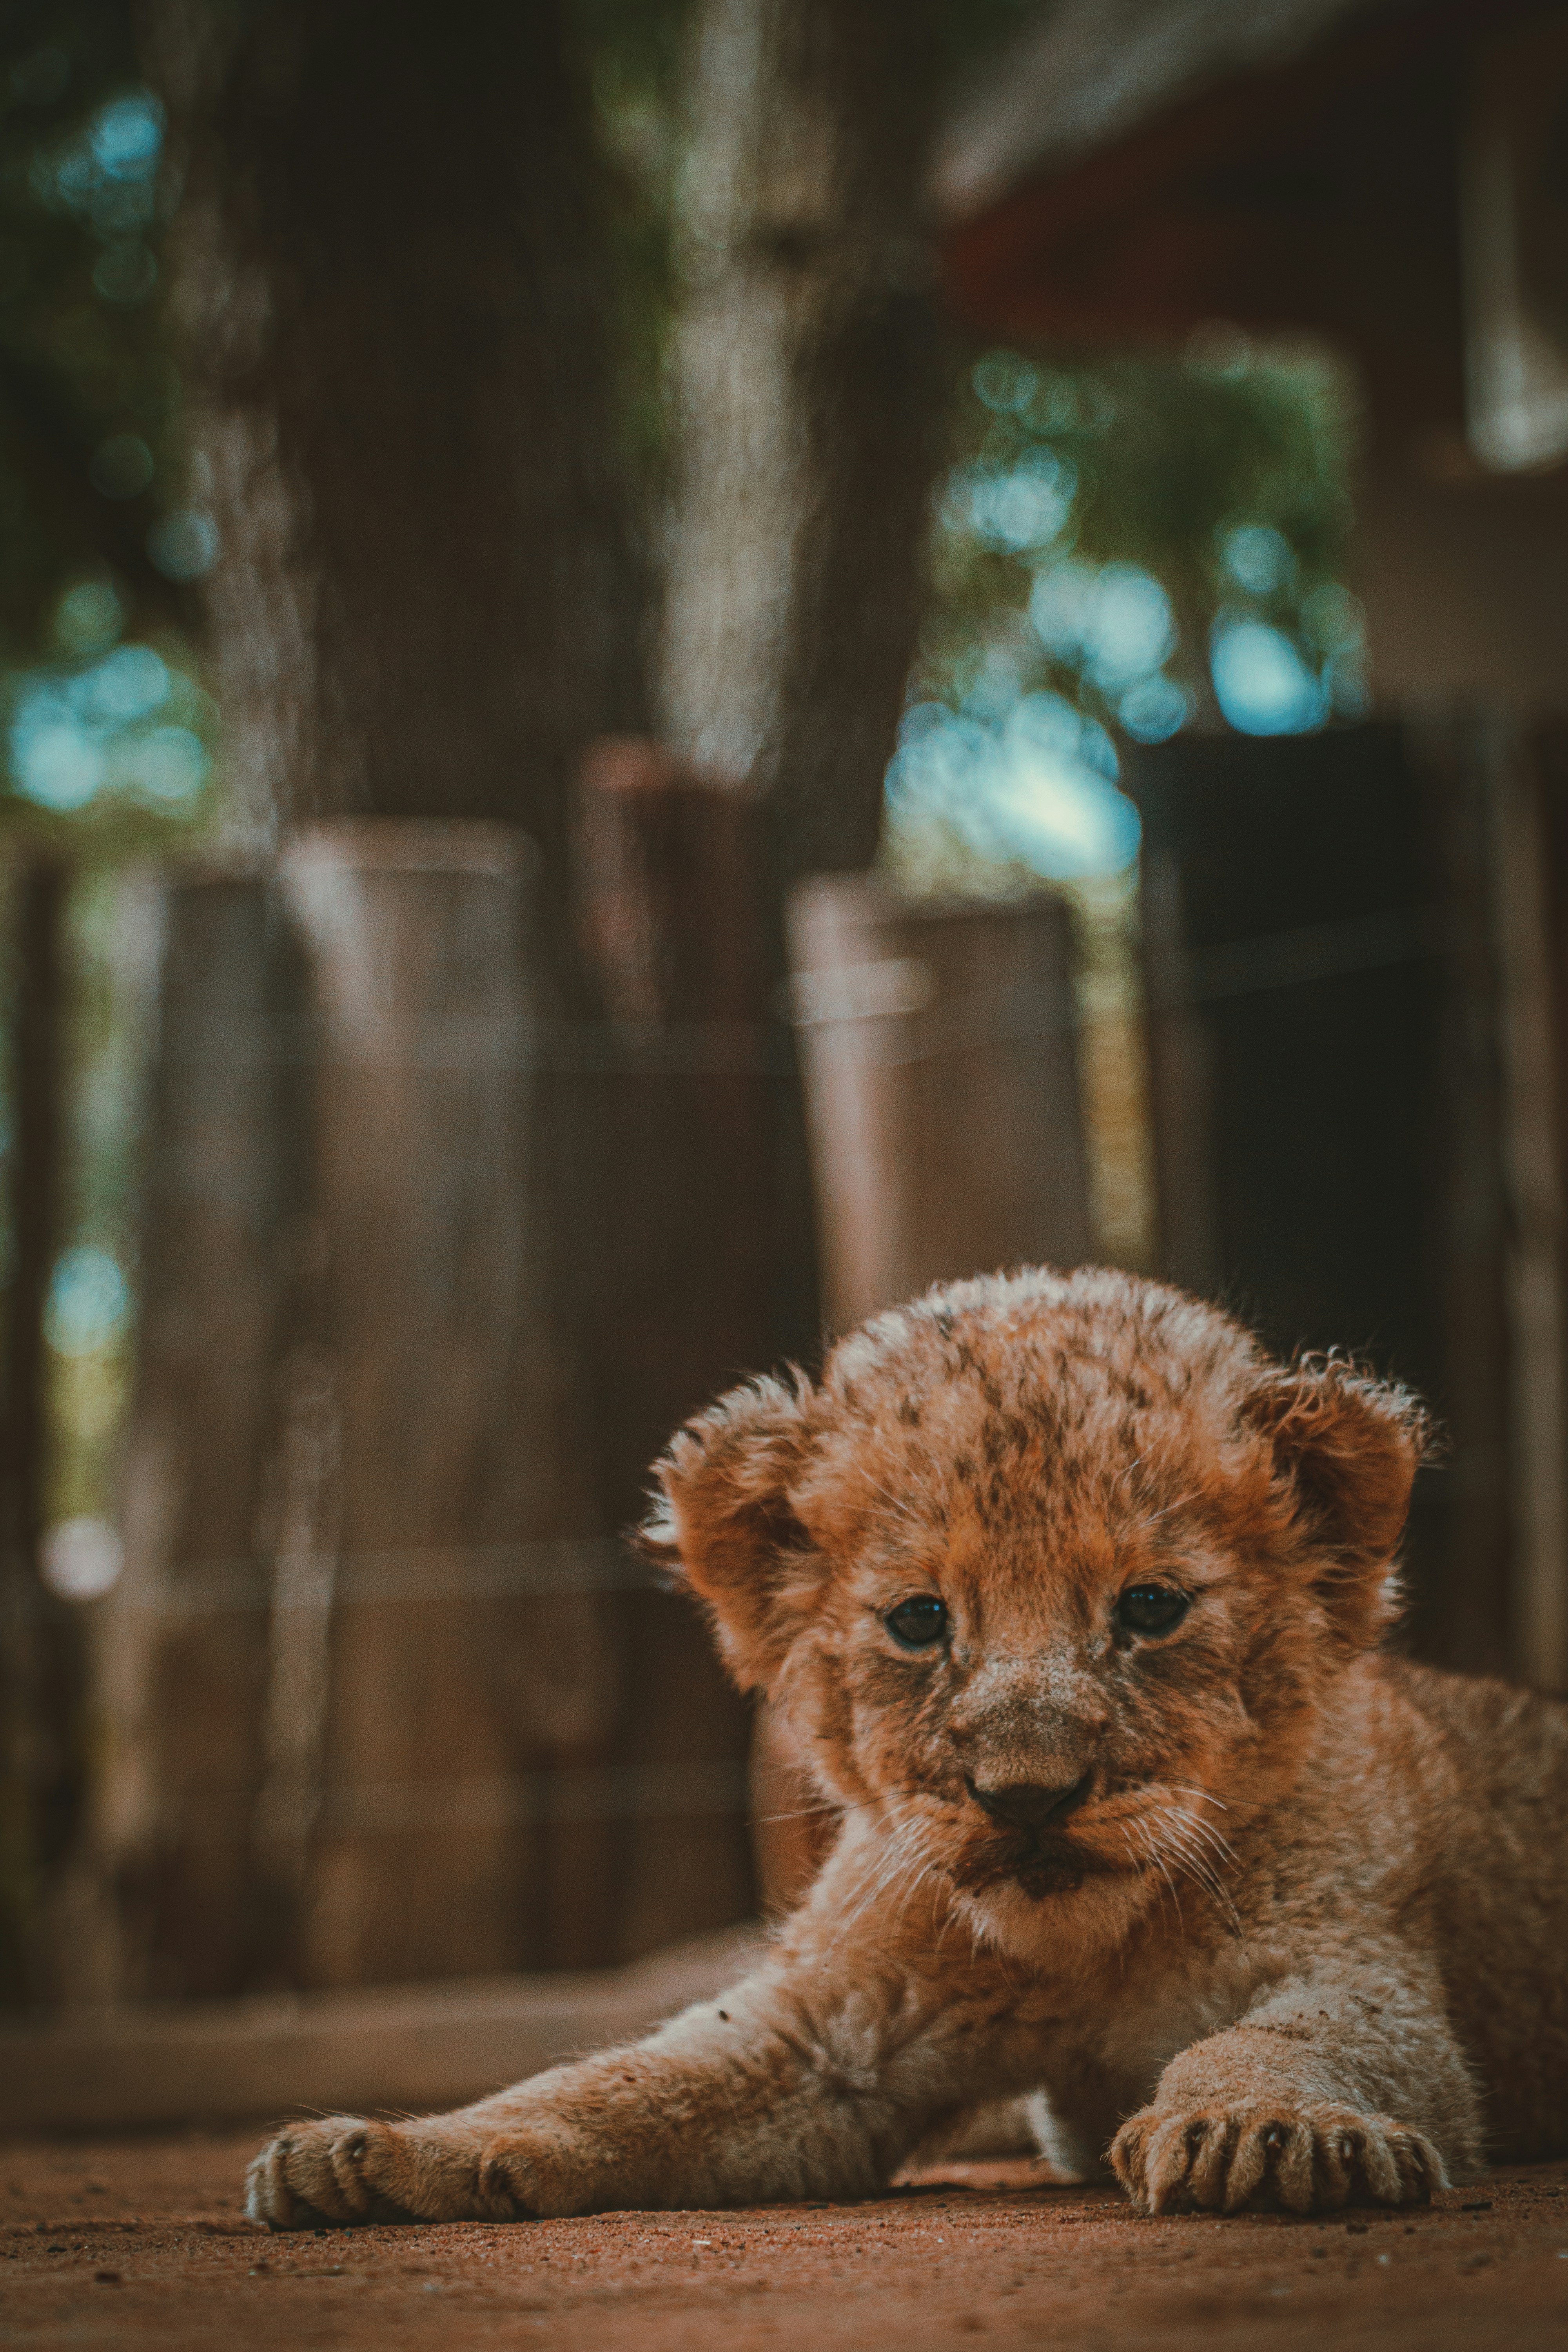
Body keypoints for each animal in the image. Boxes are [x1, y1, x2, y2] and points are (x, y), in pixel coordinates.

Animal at [246, 1266, 1568, 2226]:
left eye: (1151, 1608)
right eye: (920, 1621)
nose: (1027, 1797)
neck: (1079, 1958)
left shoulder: (1353, 1963)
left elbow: (1292, 2040)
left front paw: (1260, 2129)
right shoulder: (829, 2027)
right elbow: (615, 2083)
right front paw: (380, 2153)